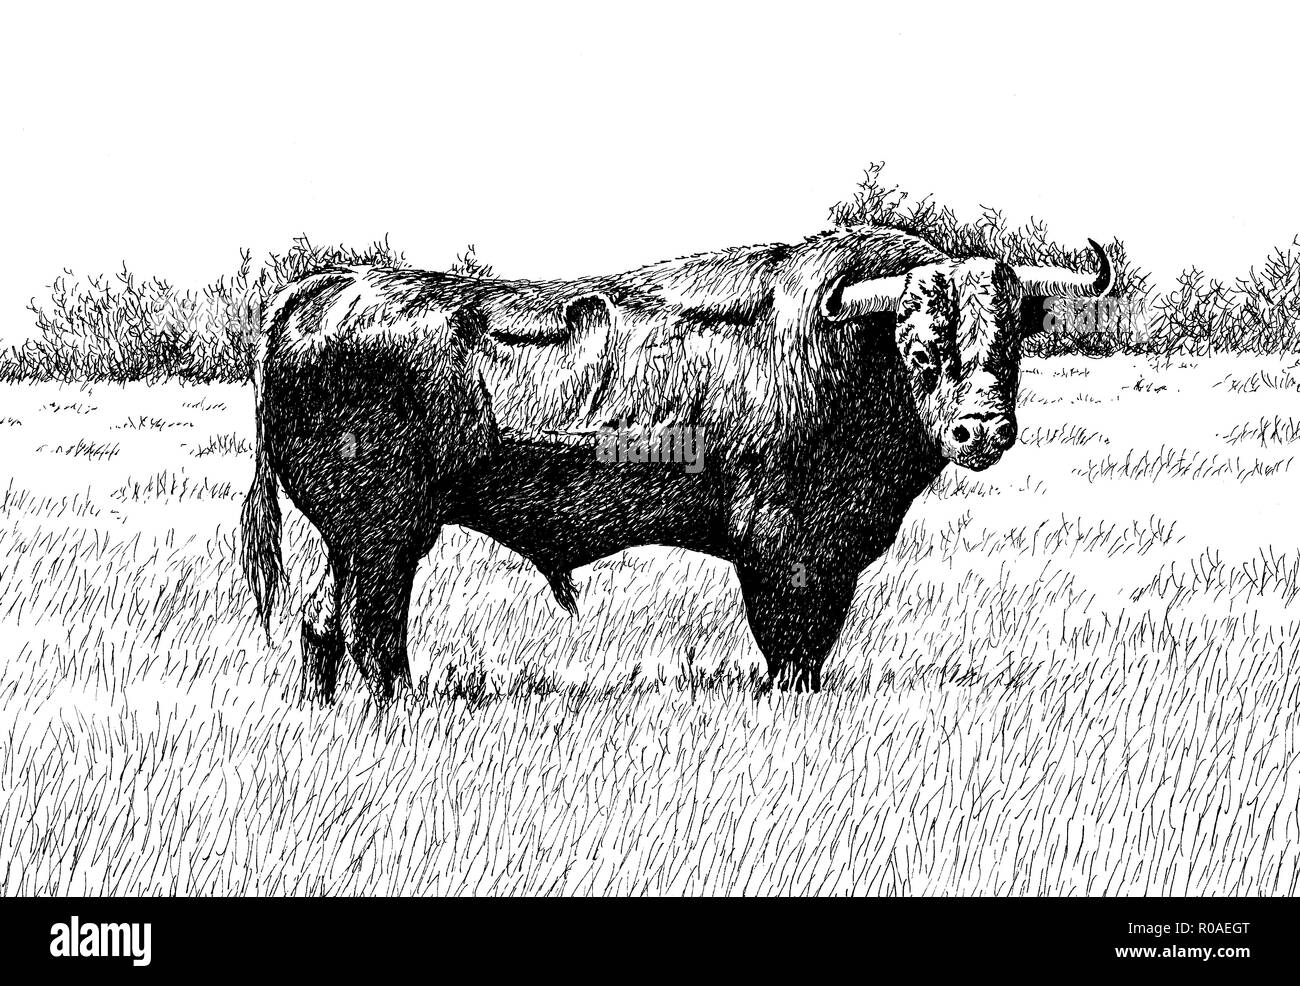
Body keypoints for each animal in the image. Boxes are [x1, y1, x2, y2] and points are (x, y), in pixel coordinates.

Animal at [240, 226, 1112, 702]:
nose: (981, 429)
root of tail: (319, 290)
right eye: (922, 349)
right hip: (386, 536)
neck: (849, 347)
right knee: (372, 629)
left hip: (352, 539)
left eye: (1011, 344)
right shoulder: (786, 547)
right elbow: (792, 641)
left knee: (323, 620)